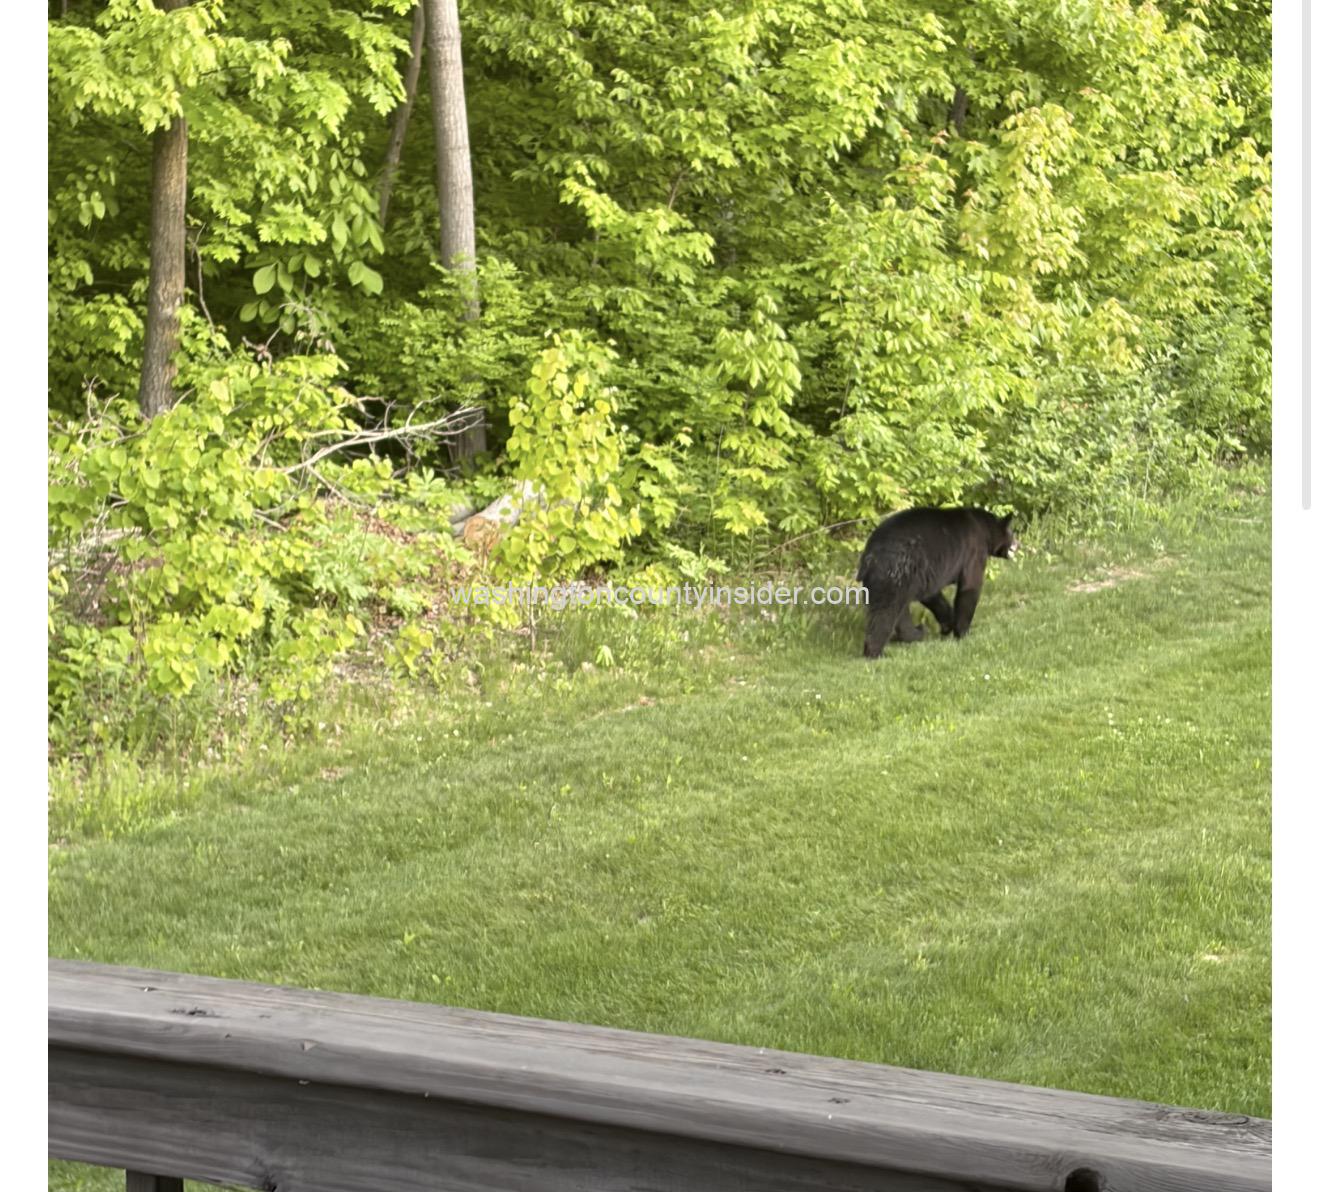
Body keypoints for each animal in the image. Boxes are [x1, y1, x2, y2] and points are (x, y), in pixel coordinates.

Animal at [856, 507, 1018, 659]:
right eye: (1012, 533)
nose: (1018, 544)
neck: (985, 529)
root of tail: (870, 556)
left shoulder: (926, 574)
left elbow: (932, 595)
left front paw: (948, 624)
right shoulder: (974, 552)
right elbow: (970, 586)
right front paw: (962, 633)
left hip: (897, 580)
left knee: (899, 611)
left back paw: (916, 633)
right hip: (896, 573)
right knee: (885, 613)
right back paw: (876, 653)